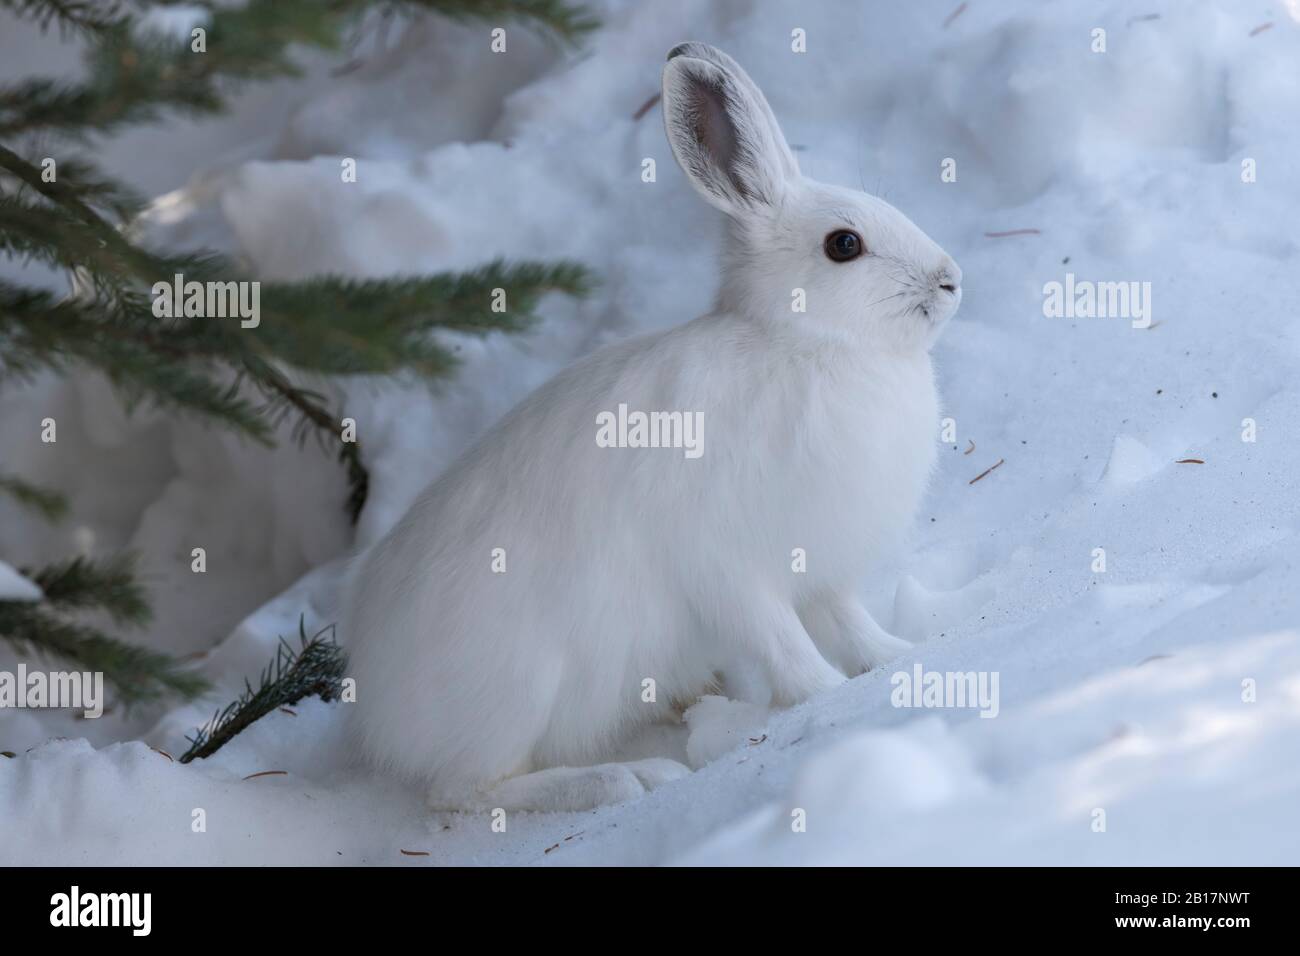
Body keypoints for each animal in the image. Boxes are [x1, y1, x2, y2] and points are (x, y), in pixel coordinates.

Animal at [343, 42, 963, 813]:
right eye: (844, 244)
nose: (951, 280)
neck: (805, 343)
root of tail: (376, 707)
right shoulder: (728, 564)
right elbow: (784, 642)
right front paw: (828, 697)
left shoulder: (822, 569)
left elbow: (850, 625)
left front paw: (904, 658)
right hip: (523, 684)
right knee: (464, 792)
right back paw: (626, 778)